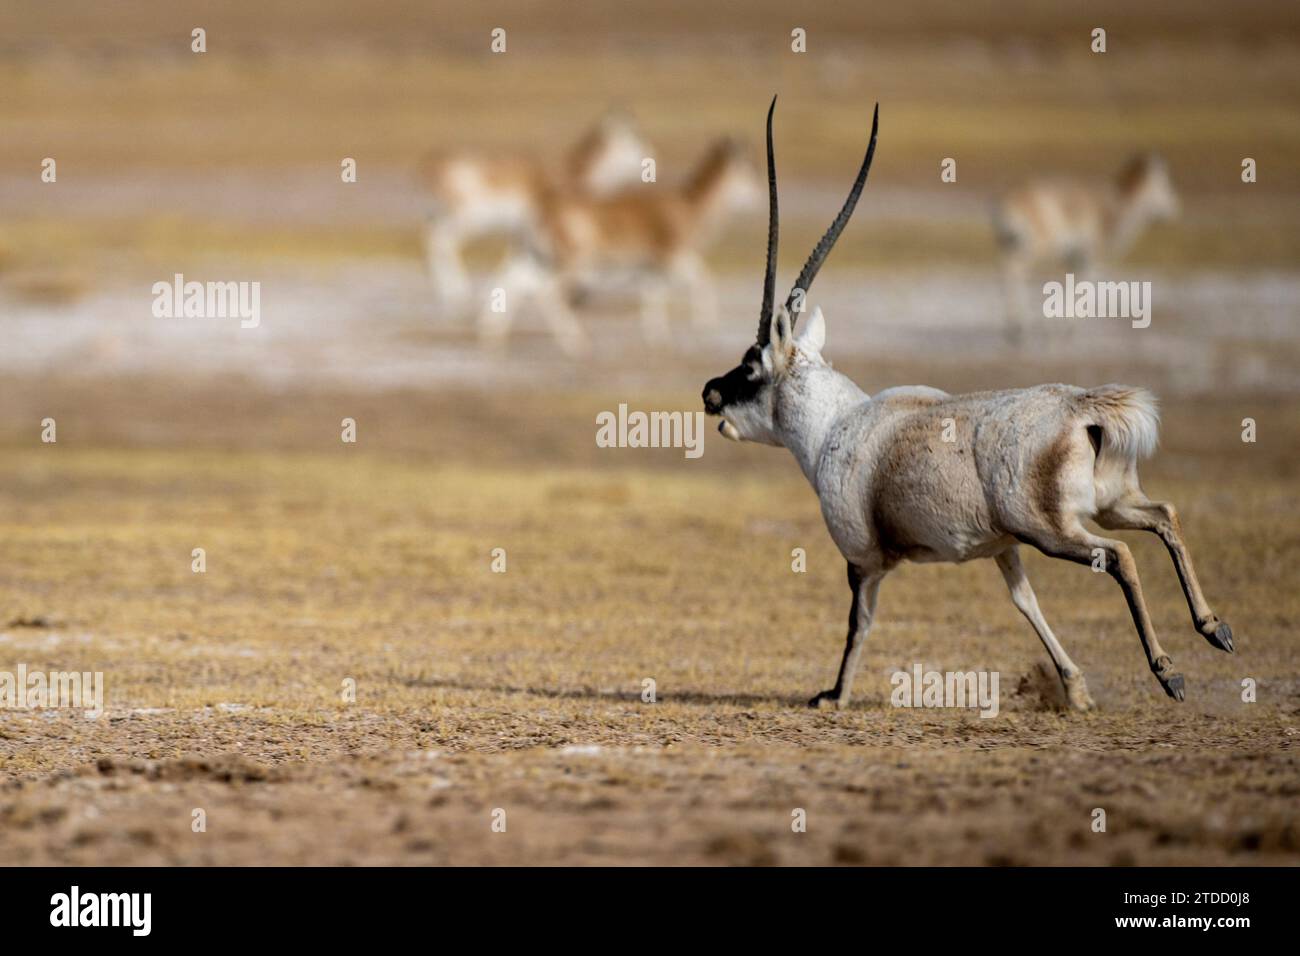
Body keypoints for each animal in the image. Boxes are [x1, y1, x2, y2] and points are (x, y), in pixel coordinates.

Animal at [419, 110, 652, 311]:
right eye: (637, 140)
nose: (651, 158)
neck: (563, 175)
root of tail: (435, 165)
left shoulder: (522, 233)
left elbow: (512, 261)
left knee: (436, 239)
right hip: (471, 221)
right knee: (444, 241)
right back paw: (459, 297)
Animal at [479, 136, 762, 355]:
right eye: (749, 171)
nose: (760, 195)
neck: (689, 205)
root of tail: (540, 213)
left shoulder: (651, 268)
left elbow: (653, 296)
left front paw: (658, 339)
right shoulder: (670, 257)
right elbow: (703, 280)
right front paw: (704, 327)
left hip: (536, 258)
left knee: (515, 283)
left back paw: (494, 337)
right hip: (575, 264)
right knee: (547, 292)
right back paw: (577, 344)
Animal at [993, 153, 1180, 343]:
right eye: (1165, 185)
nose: (1175, 209)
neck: (1114, 209)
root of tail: (1009, 203)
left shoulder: (1073, 260)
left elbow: (1071, 286)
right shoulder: (1091, 259)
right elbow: (1085, 287)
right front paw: (1069, 327)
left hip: (1010, 246)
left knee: (1008, 271)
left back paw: (1015, 326)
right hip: (1036, 249)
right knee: (1015, 270)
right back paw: (1019, 326)